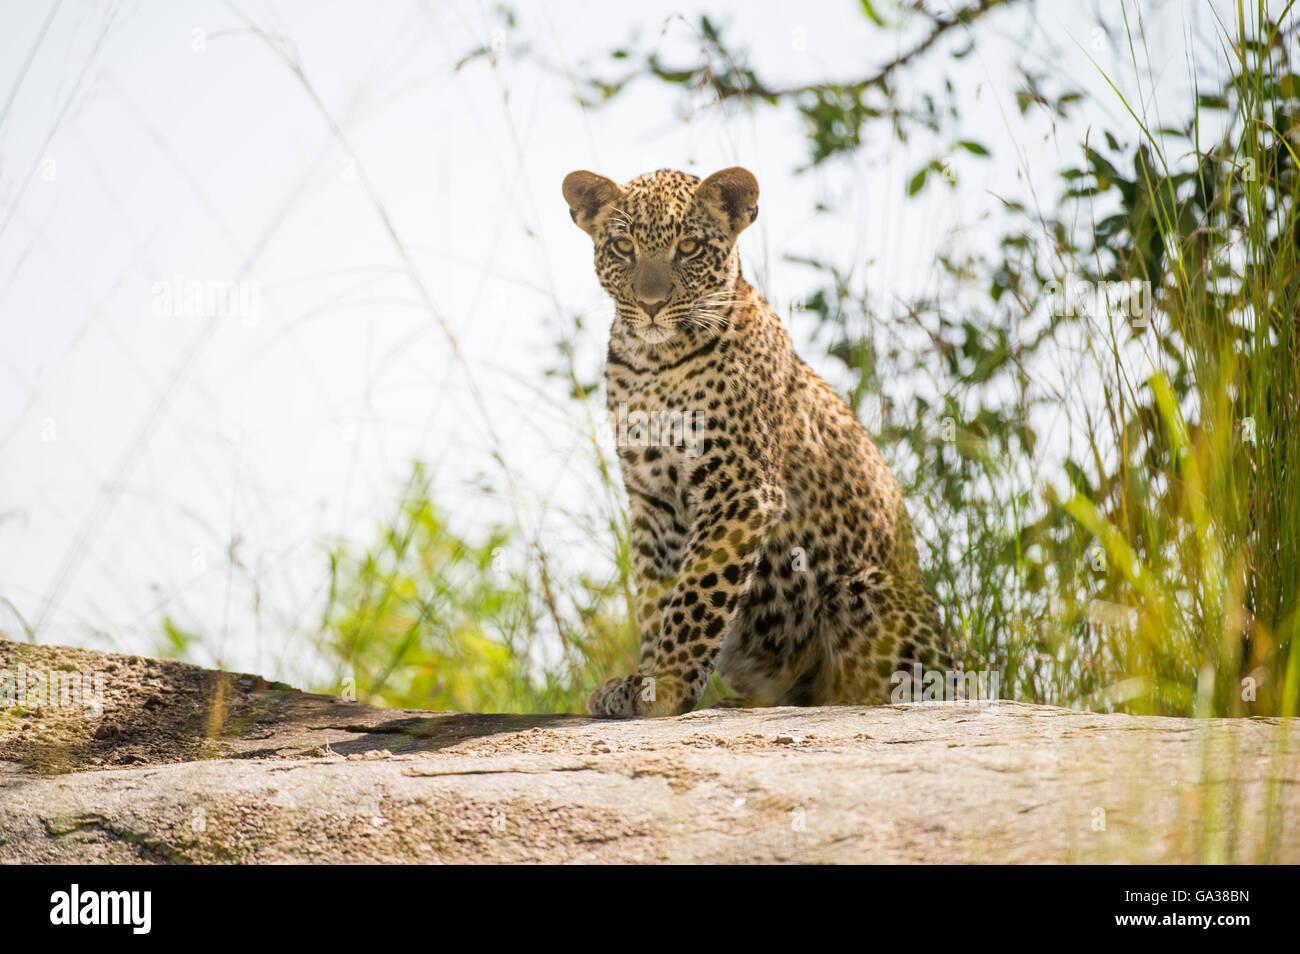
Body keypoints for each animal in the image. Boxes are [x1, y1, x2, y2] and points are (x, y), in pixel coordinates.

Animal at [562, 166, 948, 718]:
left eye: (688, 247)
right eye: (622, 246)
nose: (651, 306)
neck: (652, 364)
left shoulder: (739, 490)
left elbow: (695, 595)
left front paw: (666, 685)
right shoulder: (652, 499)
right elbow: (657, 596)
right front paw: (640, 680)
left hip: (865, 586)